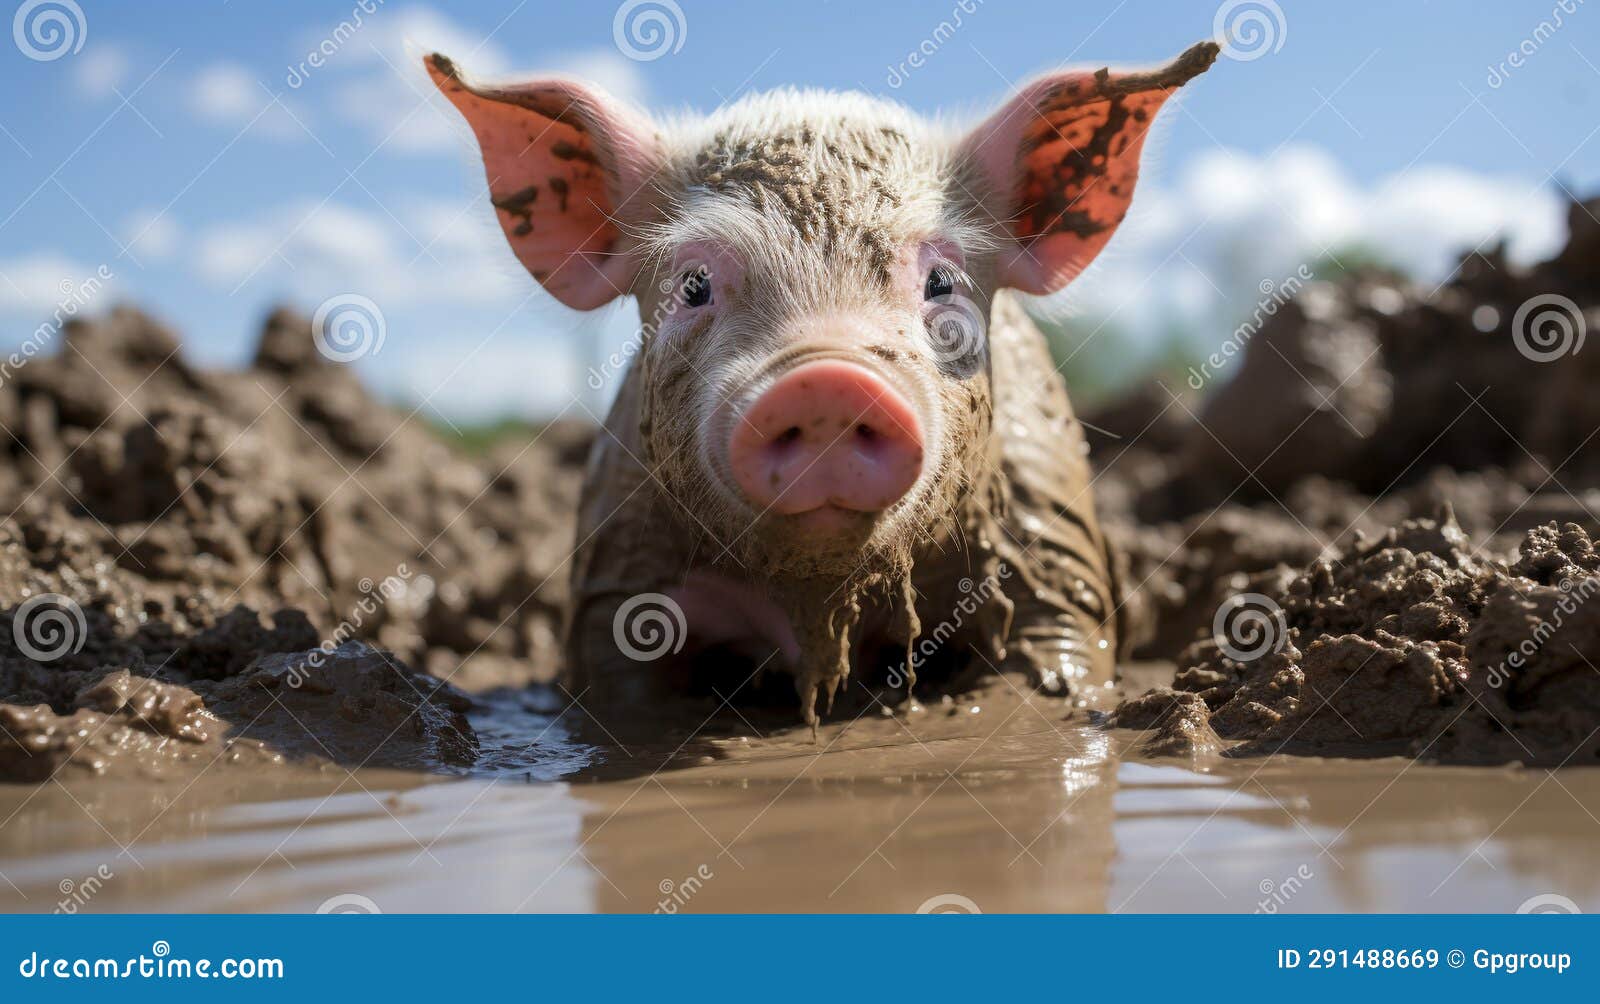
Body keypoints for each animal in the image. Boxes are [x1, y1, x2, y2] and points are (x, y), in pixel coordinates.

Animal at [426, 42, 1218, 724]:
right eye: (692, 285)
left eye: (942, 283)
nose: (825, 380)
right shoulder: (613, 571)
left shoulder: (1052, 540)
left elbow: (1053, 657)